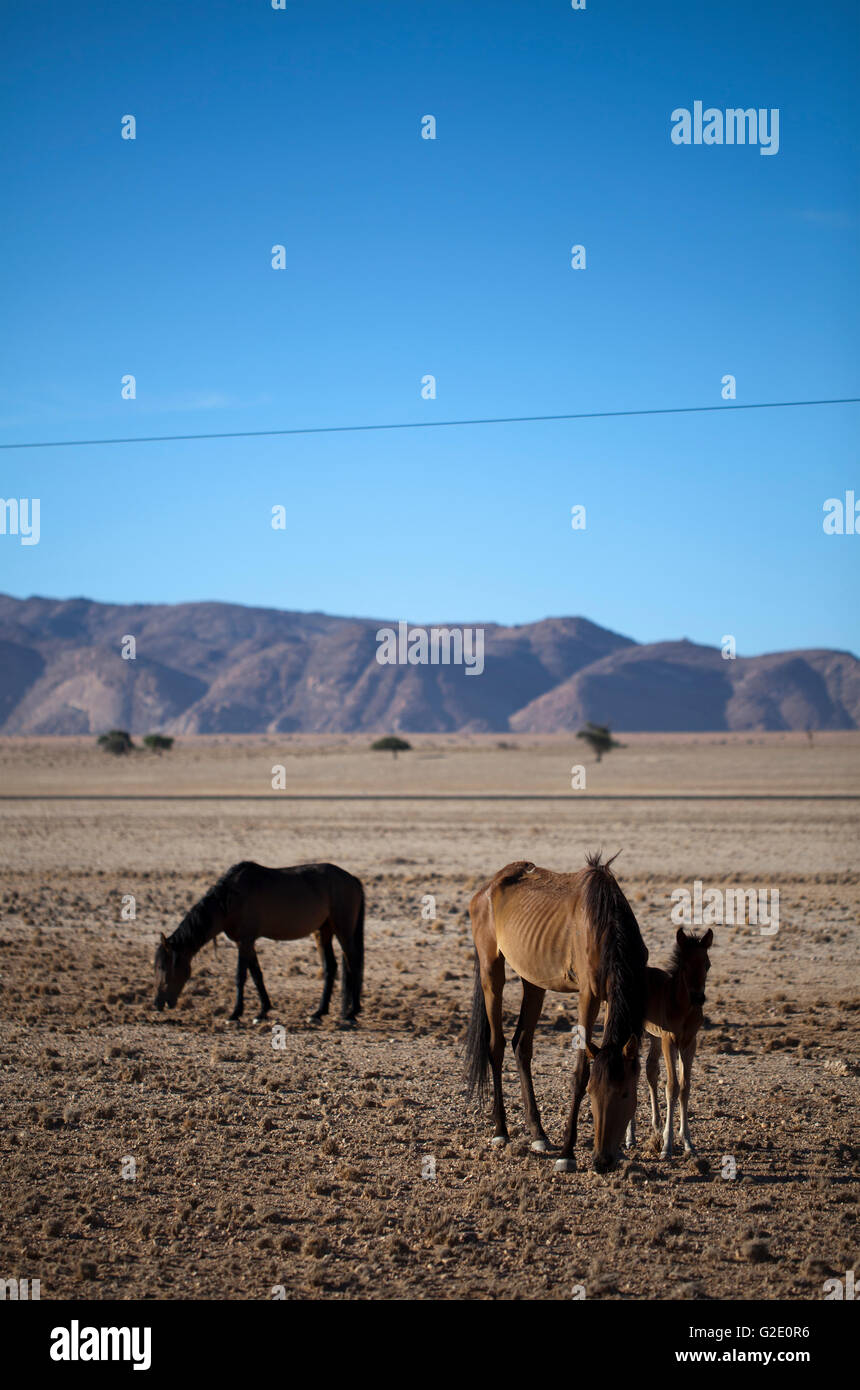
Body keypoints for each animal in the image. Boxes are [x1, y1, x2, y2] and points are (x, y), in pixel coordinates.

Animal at [153, 860, 365, 1025]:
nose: (157, 1003)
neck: (230, 899)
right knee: (331, 967)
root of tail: (352, 879)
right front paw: (263, 1011)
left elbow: (241, 976)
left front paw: (235, 1014)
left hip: (343, 931)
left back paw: (351, 1013)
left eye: (165, 967)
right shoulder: (246, 943)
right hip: (323, 931)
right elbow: (256, 974)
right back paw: (319, 1013)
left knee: (353, 964)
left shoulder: (245, 941)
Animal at [465, 852, 648, 1174]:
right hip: (491, 969)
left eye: (626, 1093)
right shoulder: (589, 995)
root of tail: (487, 888)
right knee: (496, 1046)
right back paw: (501, 1131)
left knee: (521, 1045)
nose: (602, 1161)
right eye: (593, 1093)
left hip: (533, 979)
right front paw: (567, 1154)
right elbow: (580, 1072)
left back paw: (538, 1134)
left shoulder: (614, 995)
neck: (606, 926)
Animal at [625, 927, 712, 1157]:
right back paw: (630, 1136)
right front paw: (667, 1145)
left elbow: (685, 1087)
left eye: (707, 965)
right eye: (684, 965)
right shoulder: (669, 1040)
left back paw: (655, 1124)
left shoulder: (689, 1043)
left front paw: (688, 1142)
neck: (684, 1008)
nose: (698, 997)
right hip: (635, 1030)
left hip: (653, 1036)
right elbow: (672, 1086)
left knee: (650, 1069)